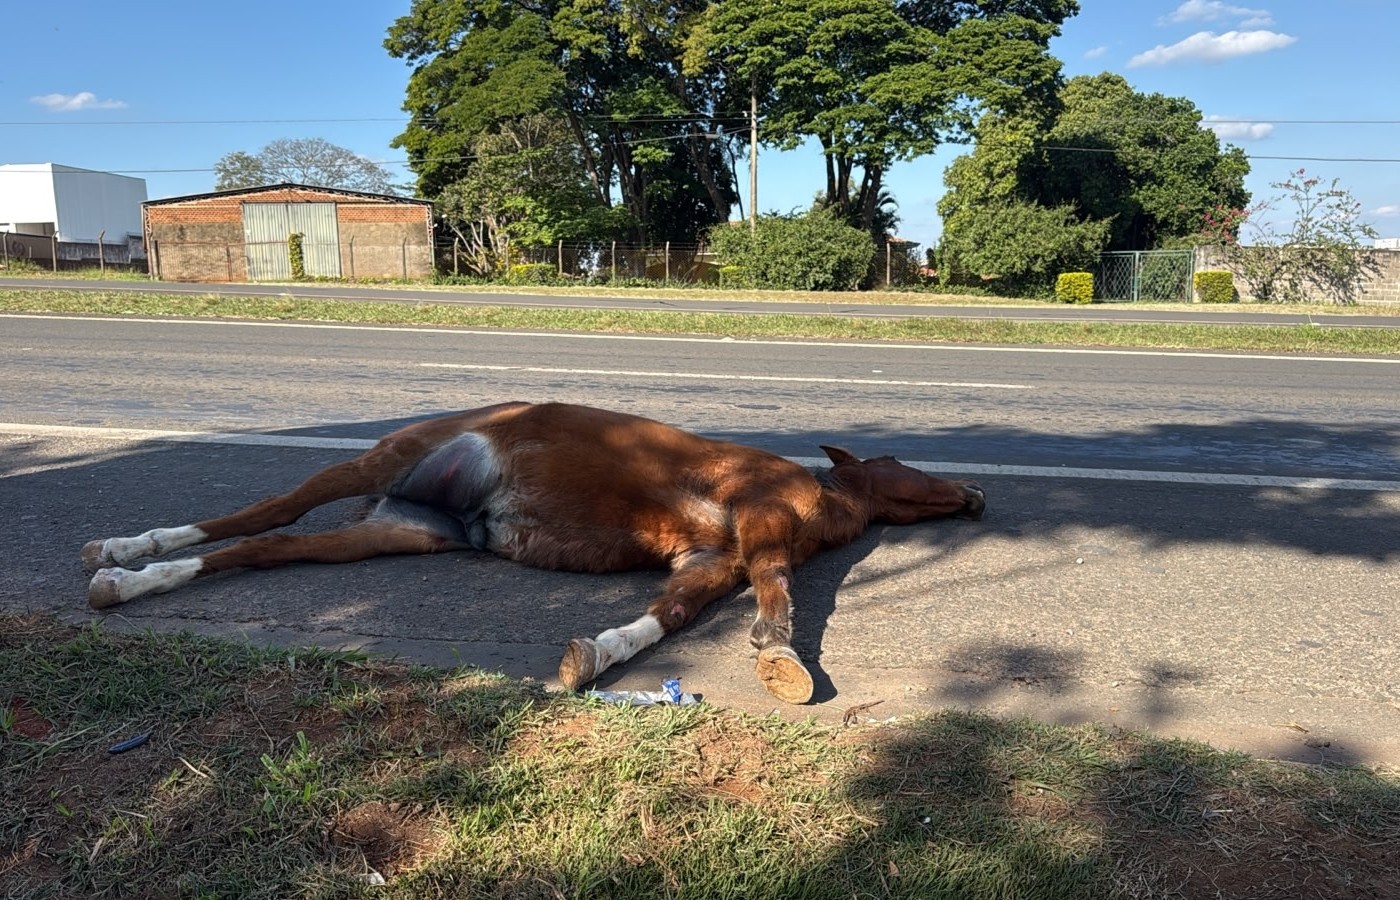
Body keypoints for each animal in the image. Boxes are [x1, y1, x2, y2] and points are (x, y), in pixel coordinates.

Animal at [80, 401, 985, 703]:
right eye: (900, 461)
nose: (976, 496)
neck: (817, 500)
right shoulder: (757, 515)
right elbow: (775, 588)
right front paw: (780, 656)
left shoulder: (705, 559)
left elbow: (670, 614)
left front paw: (593, 656)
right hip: (375, 466)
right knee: (264, 513)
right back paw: (131, 548)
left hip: (396, 529)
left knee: (268, 547)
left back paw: (129, 581)